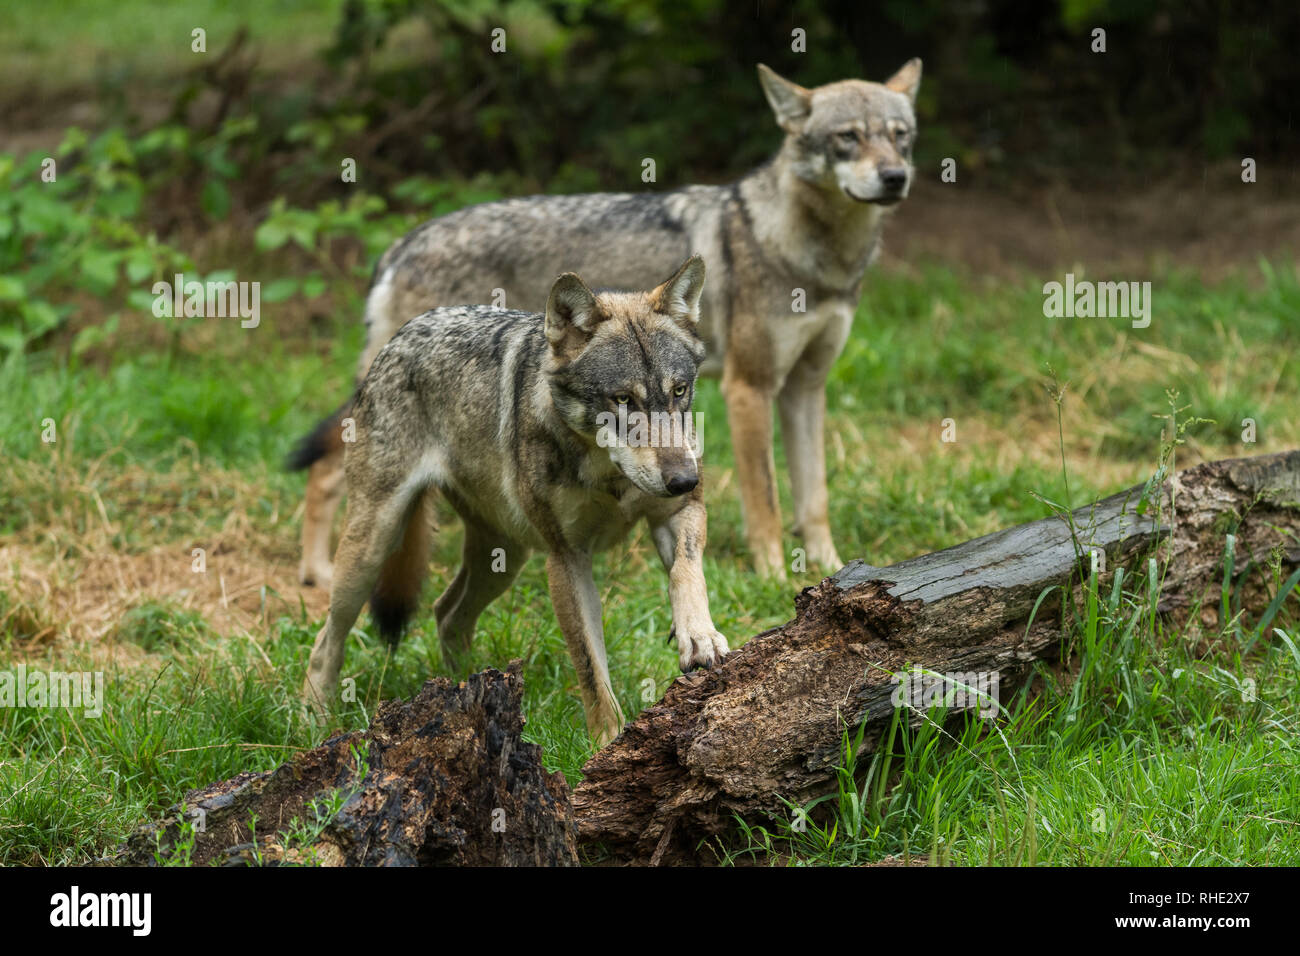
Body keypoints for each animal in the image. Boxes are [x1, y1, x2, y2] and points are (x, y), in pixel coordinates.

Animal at [291, 59, 921, 582]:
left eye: (900, 136)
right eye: (847, 138)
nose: (896, 178)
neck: (816, 255)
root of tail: (402, 243)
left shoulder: (805, 388)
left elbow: (813, 498)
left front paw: (831, 567)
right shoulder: (750, 388)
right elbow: (765, 499)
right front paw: (771, 574)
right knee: (325, 474)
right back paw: (319, 574)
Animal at [301, 255, 727, 746]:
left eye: (679, 391)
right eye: (622, 399)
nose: (684, 479)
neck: (609, 476)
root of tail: (405, 332)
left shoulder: (680, 513)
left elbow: (686, 572)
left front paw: (699, 636)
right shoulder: (566, 559)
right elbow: (593, 673)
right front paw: (609, 744)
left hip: (504, 560)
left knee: (445, 613)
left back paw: (466, 693)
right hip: (372, 549)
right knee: (327, 640)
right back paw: (316, 721)